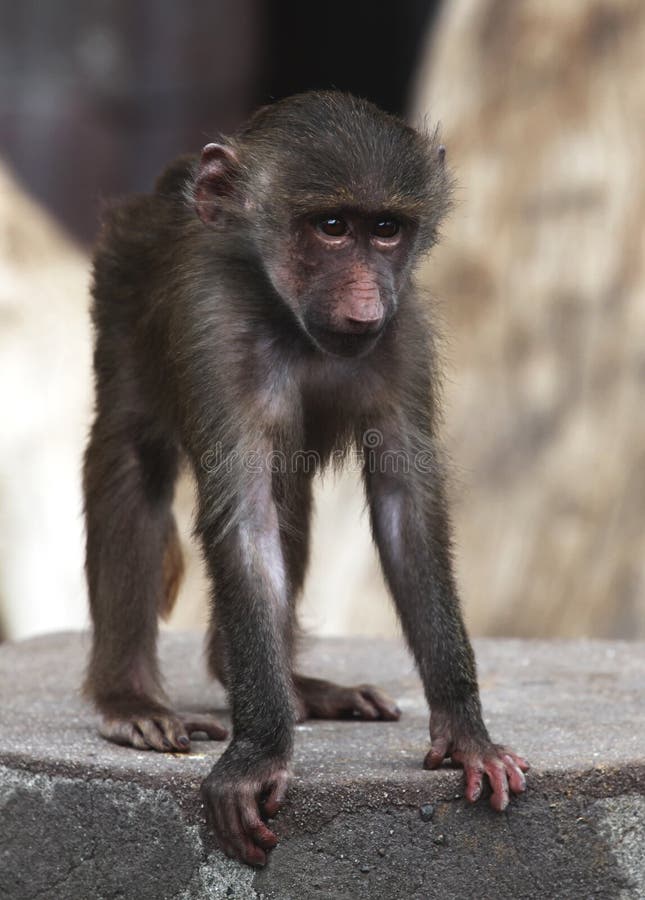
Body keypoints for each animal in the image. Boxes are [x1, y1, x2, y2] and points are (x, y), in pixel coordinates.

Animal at [83, 91, 529, 868]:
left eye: (385, 229)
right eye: (330, 227)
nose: (365, 307)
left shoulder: (404, 331)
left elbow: (404, 507)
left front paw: (465, 730)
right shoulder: (214, 326)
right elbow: (245, 519)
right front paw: (258, 756)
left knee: (288, 494)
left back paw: (288, 685)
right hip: (121, 281)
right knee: (133, 466)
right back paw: (132, 703)